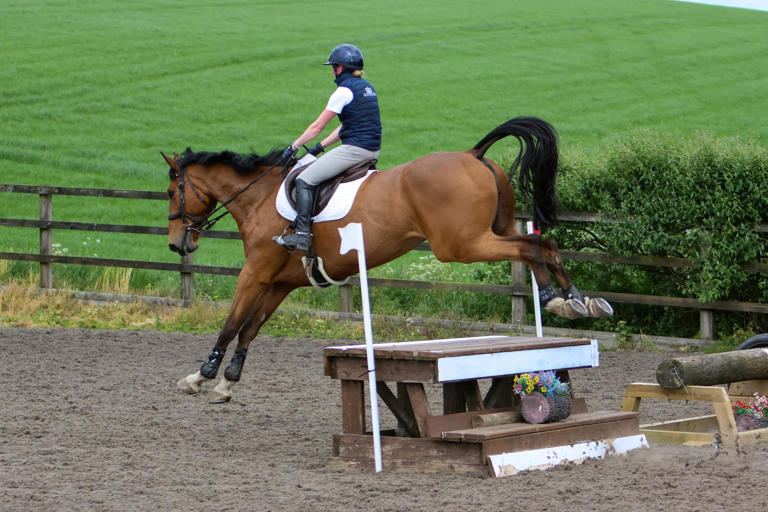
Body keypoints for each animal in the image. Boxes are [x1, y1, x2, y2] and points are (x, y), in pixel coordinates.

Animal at [164, 116, 613, 403]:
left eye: (172, 192)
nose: (177, 245)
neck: (258, 196)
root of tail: (472, 154)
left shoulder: (255, 273)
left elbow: (231, 323)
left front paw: (200, 376)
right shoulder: (279, 282)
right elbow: (249, 329)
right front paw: (227, 383)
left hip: (462, 244)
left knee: (531, 248)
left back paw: (560, 300)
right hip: (493, 230)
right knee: (544, 244)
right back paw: (575, 300)